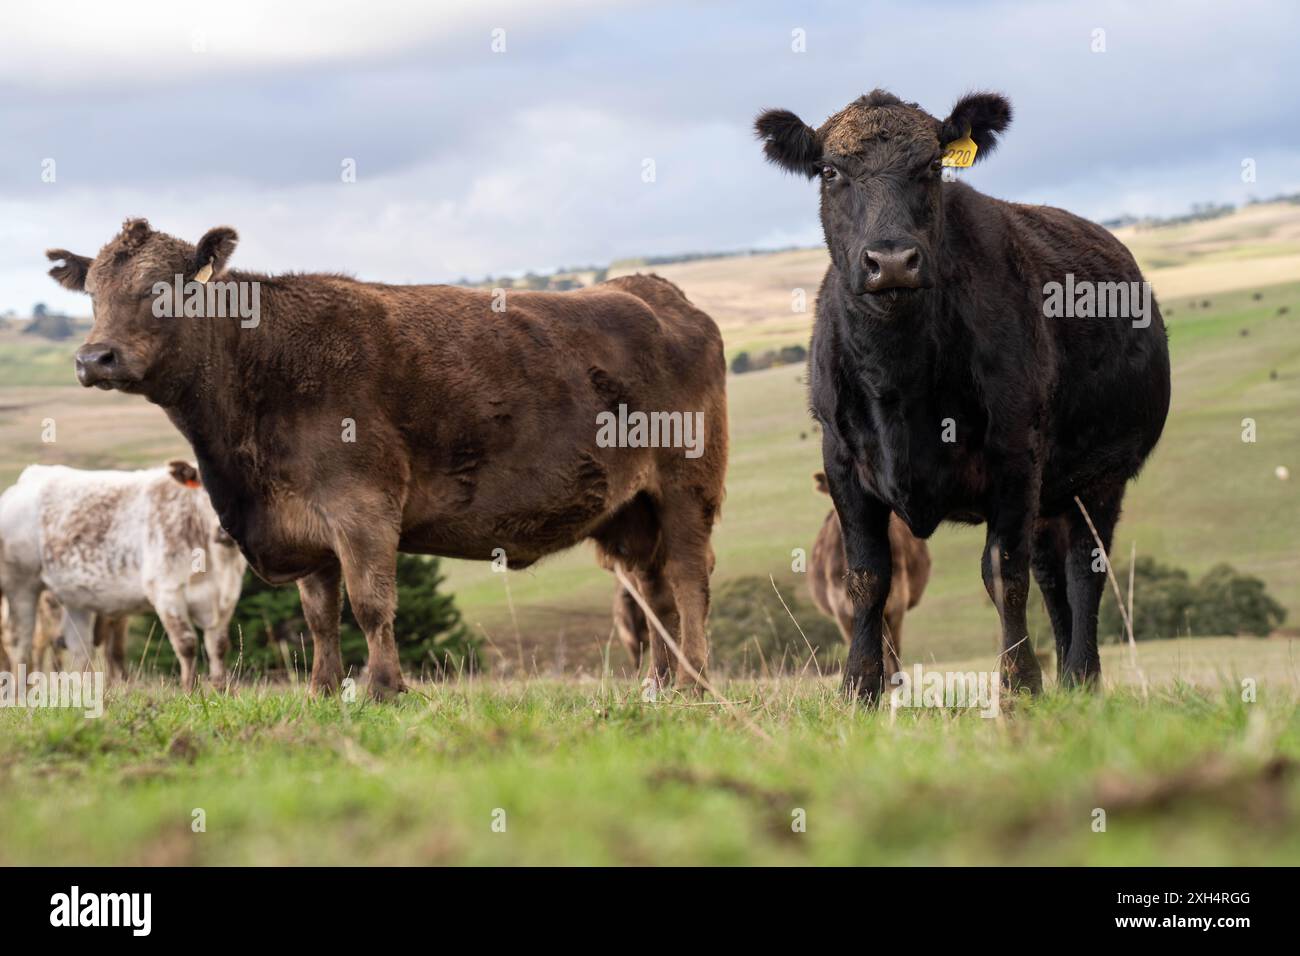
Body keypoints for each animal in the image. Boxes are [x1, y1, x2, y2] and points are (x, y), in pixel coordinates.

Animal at [0, 461, 246, 689]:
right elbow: (186, 645)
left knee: (80, 647)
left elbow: (219, 646)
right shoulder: (167, 593)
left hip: (73, 596)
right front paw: (190, 693)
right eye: (205, 488)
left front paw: (221, 691)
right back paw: (19, 695)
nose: (224, 530)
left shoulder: (227, 596)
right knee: (21, 641)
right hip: (20, 584)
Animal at [48, 219, 728, 699]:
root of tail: (650, 288)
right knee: (652, 591)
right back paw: (658, 685)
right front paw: (322, 691)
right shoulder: (303, 522)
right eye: (92, 295)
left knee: (688, 579)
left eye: (163, 289)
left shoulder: (362, 504)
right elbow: (320, 615)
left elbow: (370, 601)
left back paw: (693, 681)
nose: (94, 358)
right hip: (630, 511)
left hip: (686, 487)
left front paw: (381, 687)